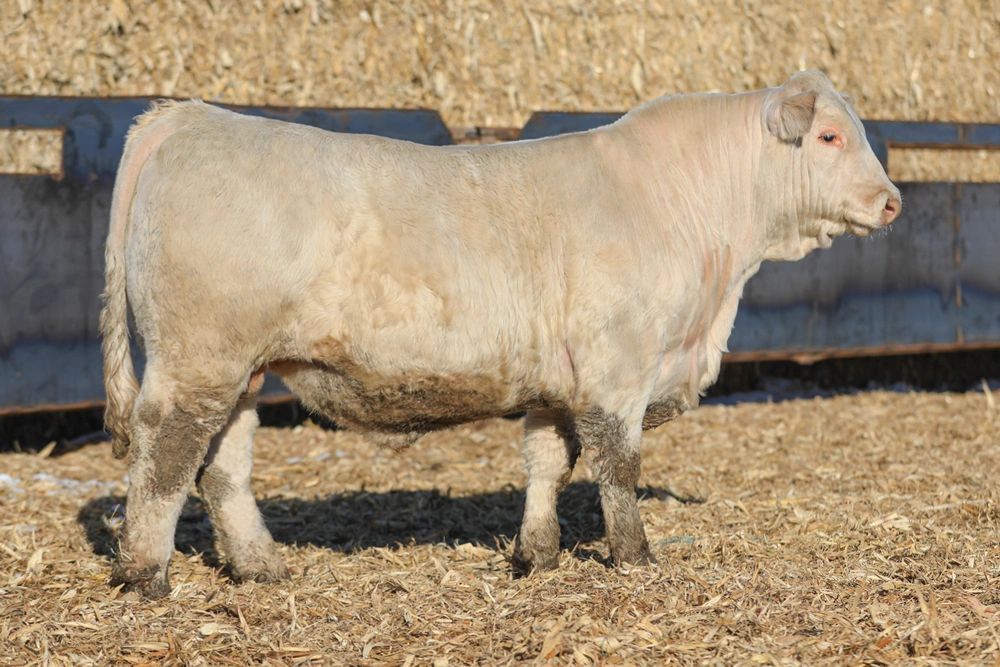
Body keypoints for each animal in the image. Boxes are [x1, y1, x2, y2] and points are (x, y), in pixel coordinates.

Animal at [101, 70, 901, 597]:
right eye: (830, 135)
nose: (892, 201)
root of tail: (189, 117)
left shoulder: (559, 383)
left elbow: (547, 464)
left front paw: (534, 556)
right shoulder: (617, 370)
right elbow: (617, 468)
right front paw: (636, 557)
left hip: (241, 370)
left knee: (221, 466)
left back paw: (260, 565)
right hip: (197, 361)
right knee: (165, 458)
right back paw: (146, 575)